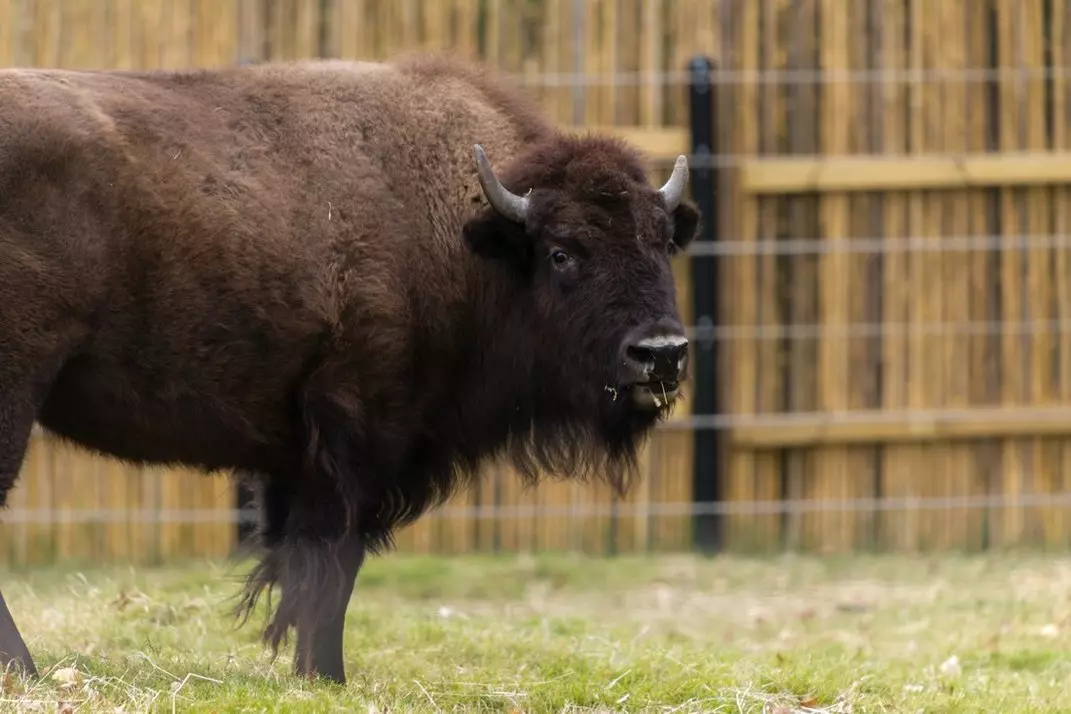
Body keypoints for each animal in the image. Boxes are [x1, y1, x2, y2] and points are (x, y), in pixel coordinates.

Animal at [0, 52, 694, 685]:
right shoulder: (356, 440)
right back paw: (25, 671)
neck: (468, 237)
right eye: (561, 253)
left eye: (662, 242)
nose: (661, 352)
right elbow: (332, 563)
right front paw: (323, 674)